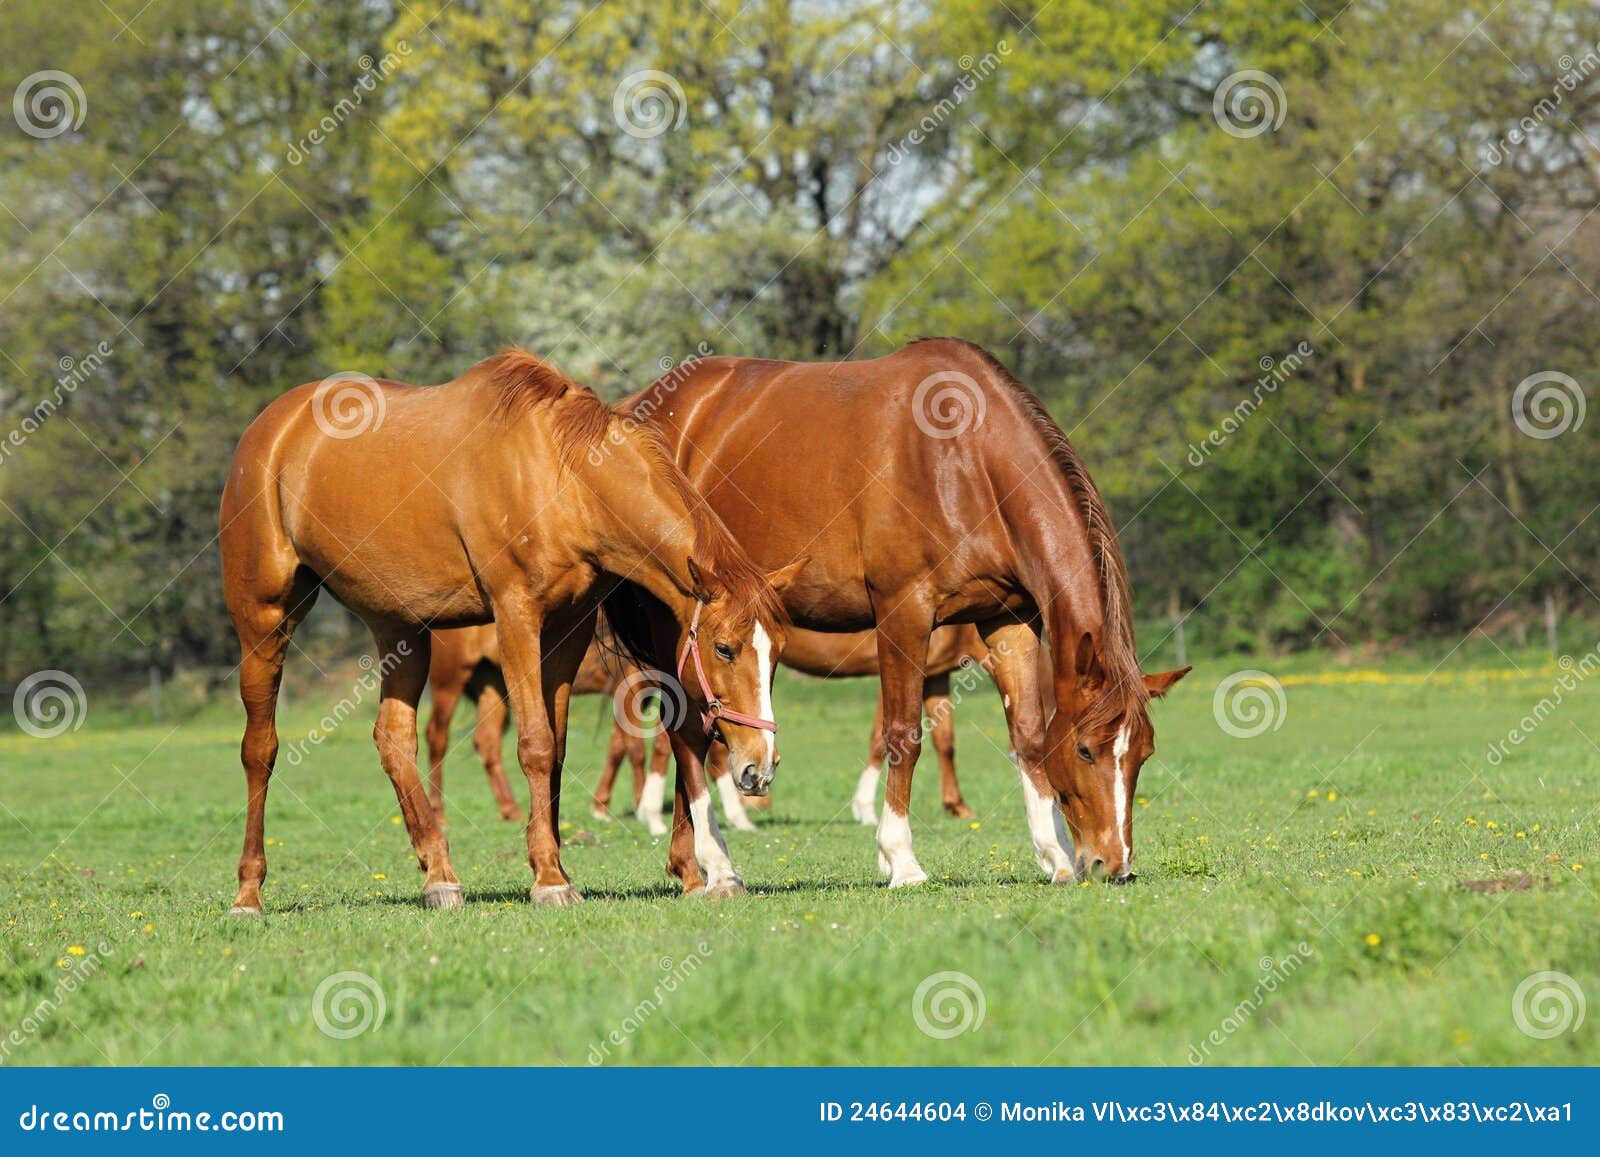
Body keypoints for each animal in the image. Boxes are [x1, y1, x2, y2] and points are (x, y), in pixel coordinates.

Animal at [424, 620, 668, 826]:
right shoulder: (630, 685)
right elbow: (637, 749)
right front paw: (641, 805)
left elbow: (618, 748)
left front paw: (601, 806)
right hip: (450, 679)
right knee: (437, 737)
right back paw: (439, 814)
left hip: (492, 682)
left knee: (487, 741)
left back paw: (511, 810)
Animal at [623, 338, 1189, 886]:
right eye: (1087, 750)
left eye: (1144, 753)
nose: (1113, 864)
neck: (962, 460)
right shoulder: (903, 614)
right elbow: (901, 736)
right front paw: (901, 860)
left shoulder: (1010, 620)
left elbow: (1027, 736)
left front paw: (1057, 856)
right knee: (685, 732)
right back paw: (712, 863)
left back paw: (688, 863)